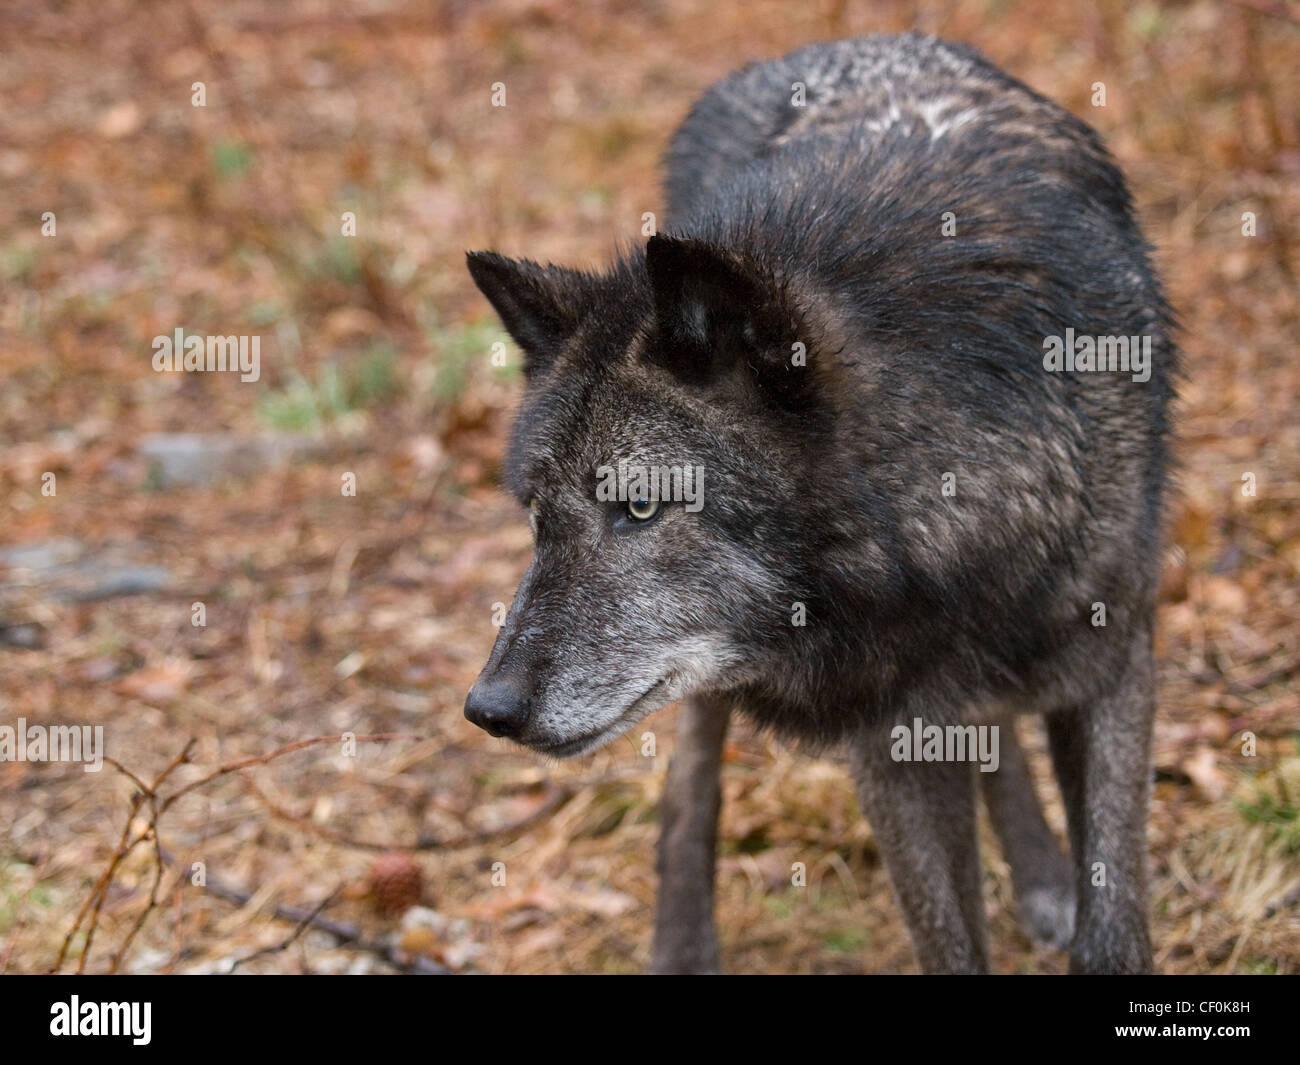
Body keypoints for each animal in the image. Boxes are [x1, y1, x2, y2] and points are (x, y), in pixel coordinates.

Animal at [464, 33, 1174, 974]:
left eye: (640, 507)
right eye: (536, 514)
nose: (489, 707)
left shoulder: (1114, 663)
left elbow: (1115, 914)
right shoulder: (887, 740)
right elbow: (948, 938)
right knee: (692, 772)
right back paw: (683, 940)